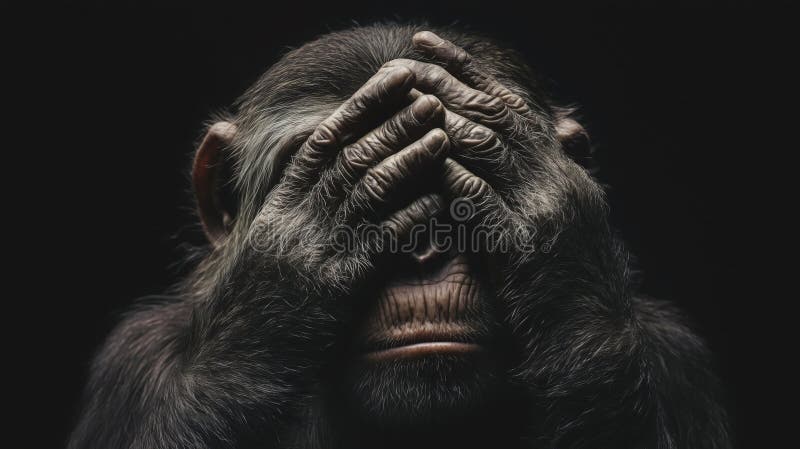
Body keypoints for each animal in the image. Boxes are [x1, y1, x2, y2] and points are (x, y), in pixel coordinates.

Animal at [68, 23, 731, 449]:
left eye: (463, 165)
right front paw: (291, 267)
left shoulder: (678, 358)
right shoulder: (132, 360)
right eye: (312, 159)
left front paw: (550, 221)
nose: (424, 250)